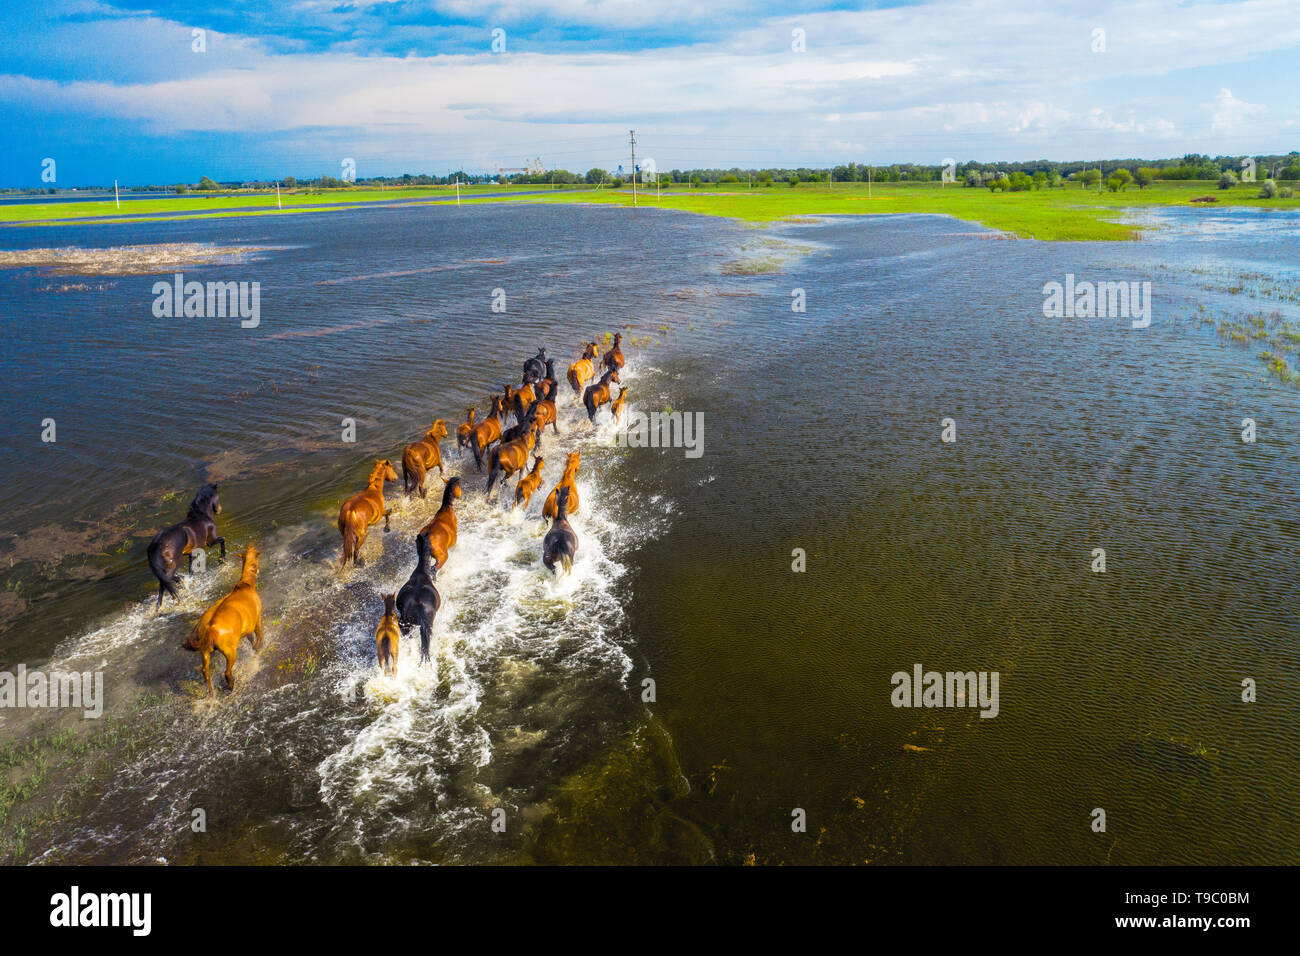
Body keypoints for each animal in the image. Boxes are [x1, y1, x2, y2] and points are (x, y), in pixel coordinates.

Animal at [182, 545, 262, 696]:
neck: (245, 584)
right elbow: (259, 637)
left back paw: (211, 692)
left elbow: (252, 639)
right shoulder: (257, 620)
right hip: (230, 652)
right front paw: (256, 649)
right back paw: (231, 685)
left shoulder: (247, 628)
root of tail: (210, 628)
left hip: (205, 652)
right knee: (226, 672)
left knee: (205, 672)